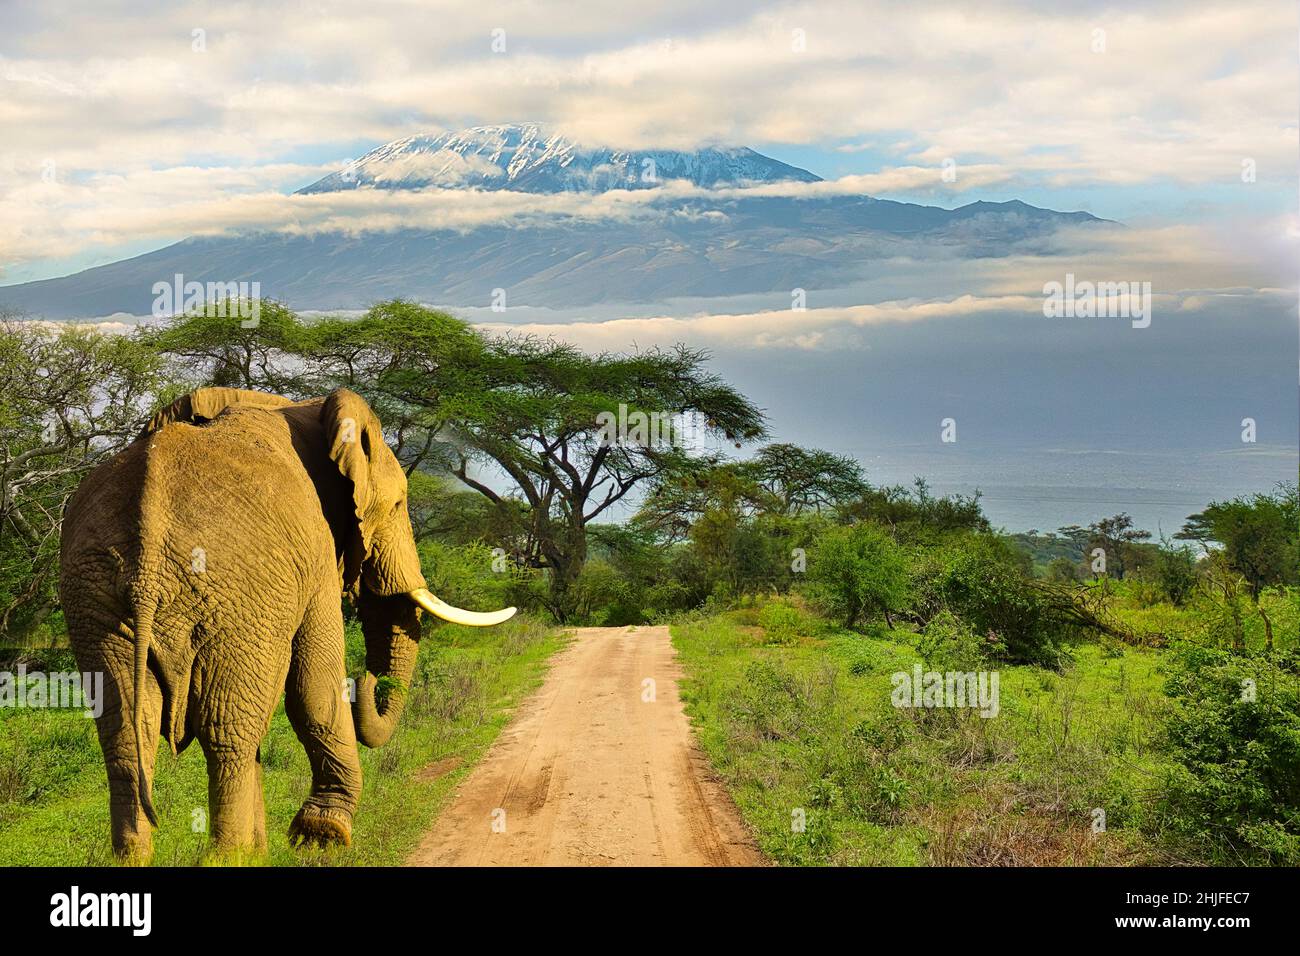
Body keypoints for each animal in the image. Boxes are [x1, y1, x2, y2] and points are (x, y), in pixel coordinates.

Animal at [58, 386, 514, 861]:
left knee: (127, 733)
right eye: (398, 505)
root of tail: (146, 568)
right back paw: (232, 858)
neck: (305, 411)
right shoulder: (315, 550)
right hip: (237, 595)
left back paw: (144, 856)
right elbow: (315, 684)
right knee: (227, 733)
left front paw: (286, 844)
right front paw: (322, 837)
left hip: (97, 601)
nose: (369, 679)